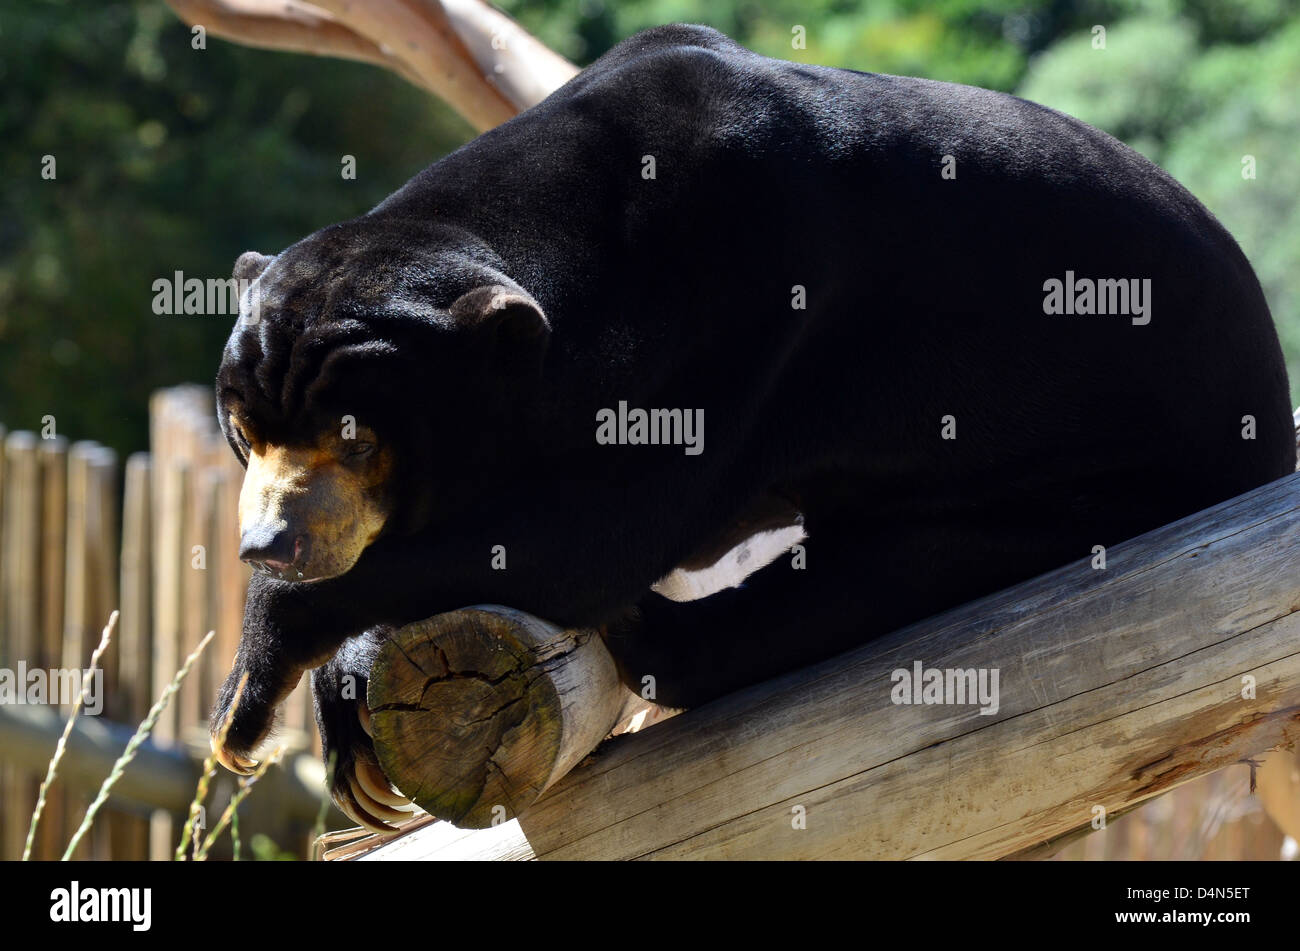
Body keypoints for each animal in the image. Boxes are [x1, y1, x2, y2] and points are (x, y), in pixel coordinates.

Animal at [210, 23, 1295, 829]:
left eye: (359, 436)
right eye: (243, 428)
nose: (267, 543)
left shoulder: (747, 299)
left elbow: (593, 537)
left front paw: (253, 695)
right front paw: (346, 709)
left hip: (1094, 482)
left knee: (858, 581)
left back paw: (655, 636)